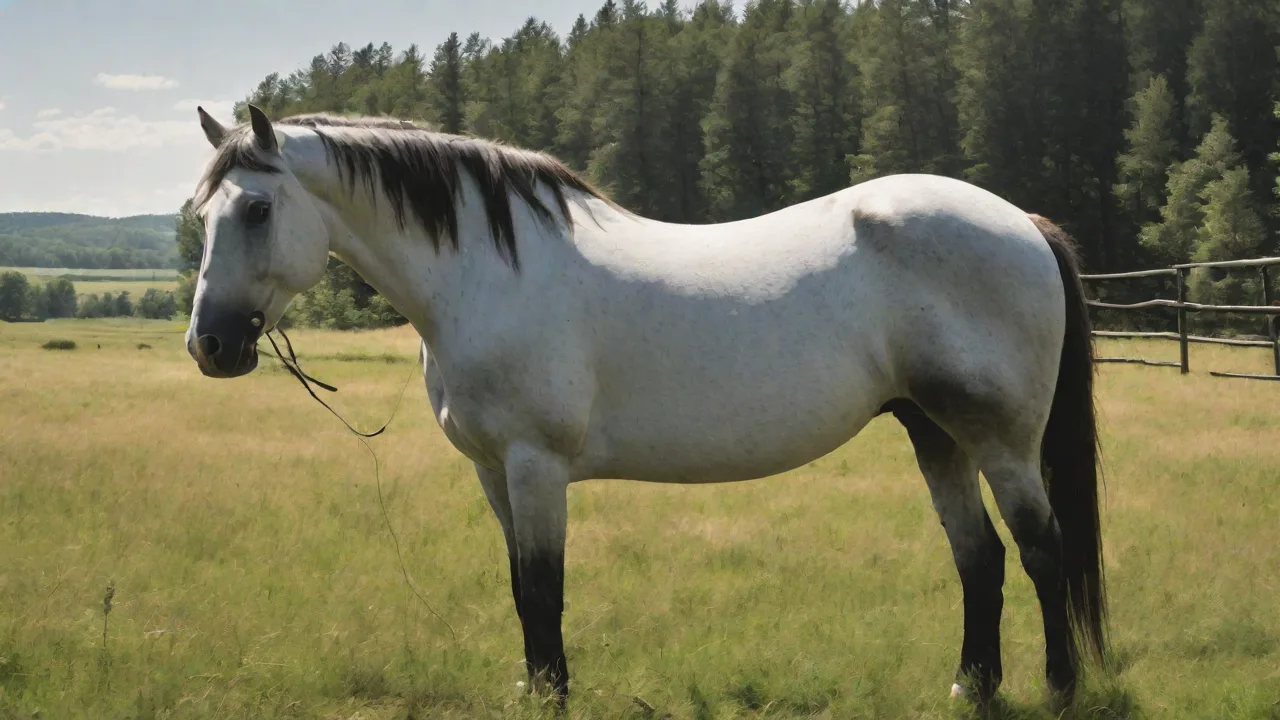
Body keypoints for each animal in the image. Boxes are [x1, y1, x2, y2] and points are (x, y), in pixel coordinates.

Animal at [183, 104, 1108, 710]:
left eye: (257, 208)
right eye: (201, 213)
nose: (211, 346)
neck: (489, 273)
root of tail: (1021, 222)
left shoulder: (534, 465)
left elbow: (542, 588)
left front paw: (552, 696)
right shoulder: (493, 473)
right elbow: (518, 587)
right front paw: (533, 687)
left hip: (1001, 441)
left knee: (1041, 551)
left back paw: (1059, 687)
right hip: (934, 433)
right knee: (979, 557)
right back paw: (971, 686)